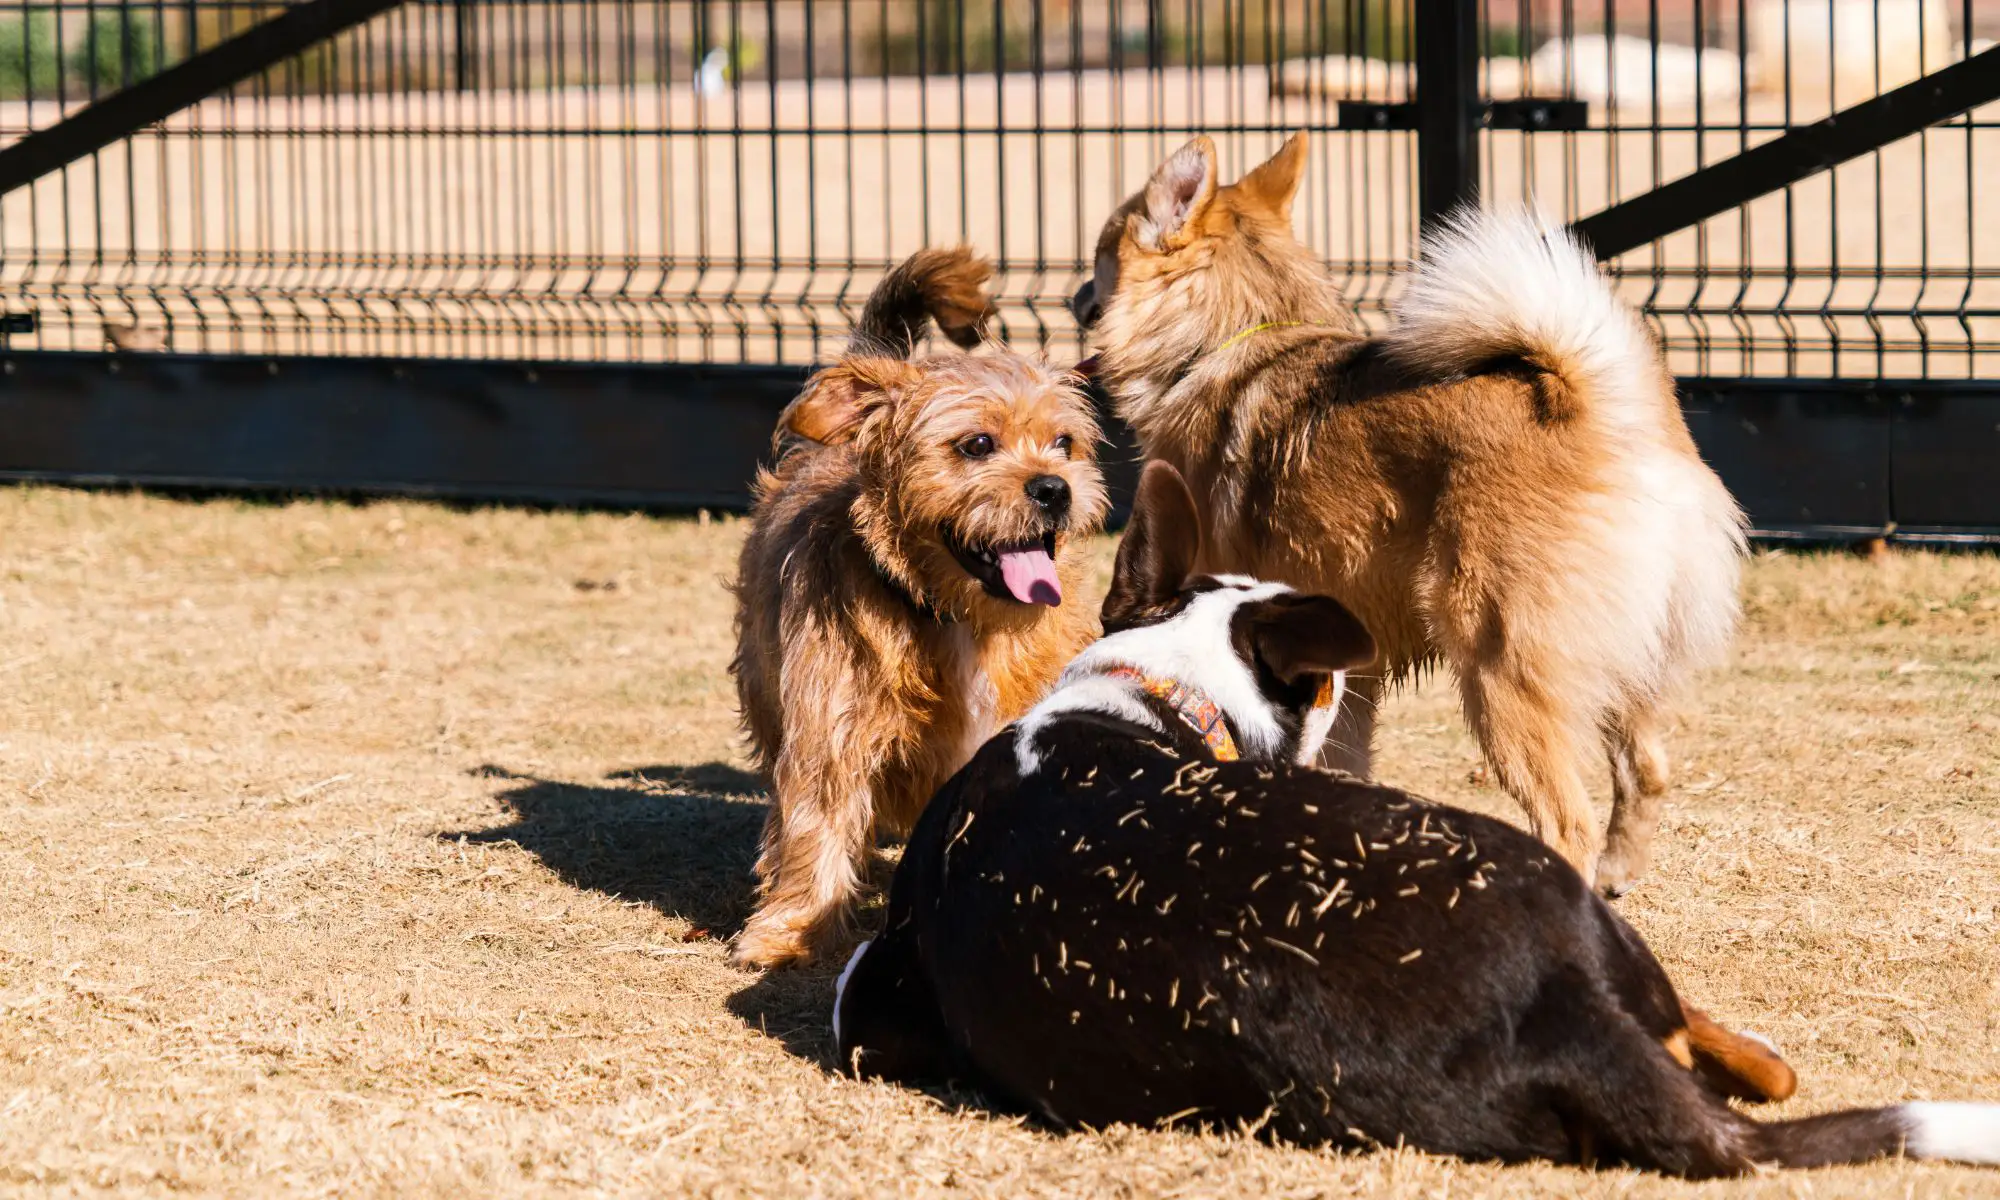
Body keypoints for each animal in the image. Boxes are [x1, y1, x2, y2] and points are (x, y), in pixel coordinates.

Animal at [732, 248, 1112, 972]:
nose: (1054, 488)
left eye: (1064, 443)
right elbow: (817, 823)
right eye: (977, 445)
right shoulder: (832, 730)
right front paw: (794, 931)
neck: (958, 617)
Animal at [1072, 136, 1744, 896]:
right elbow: (1341, 762)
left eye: (1101, 252)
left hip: (1499, 670)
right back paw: (1612, 880)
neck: (1226, 338)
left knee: (1566, 818)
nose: (1075, 296)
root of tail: (1609, 413)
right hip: (1625, 668)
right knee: (1646, 772)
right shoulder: (1346, 673)